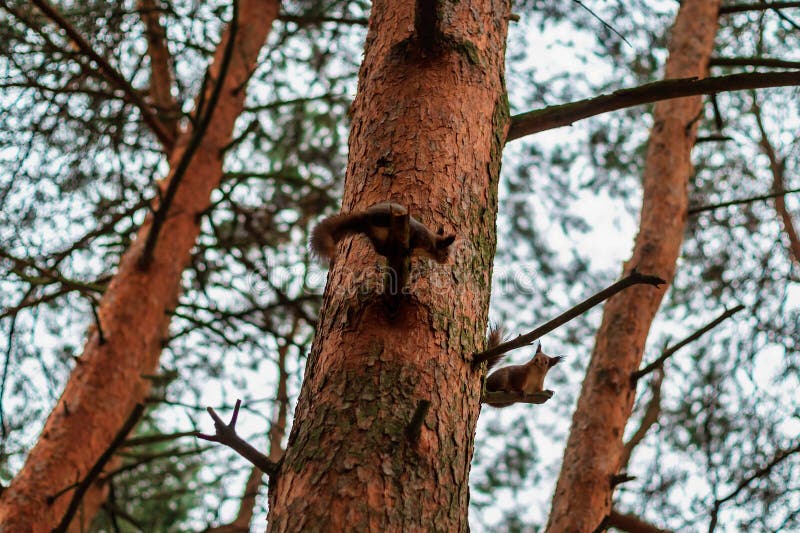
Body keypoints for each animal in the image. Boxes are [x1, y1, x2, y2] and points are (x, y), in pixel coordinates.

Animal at [310, 202, 455, 263]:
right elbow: (414, 241)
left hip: (377, 237)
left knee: (378, 249)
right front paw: (410, 249)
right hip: (383, 219)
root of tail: (364, 219)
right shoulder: (420, 237)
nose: (446, 262)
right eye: (446, 253)